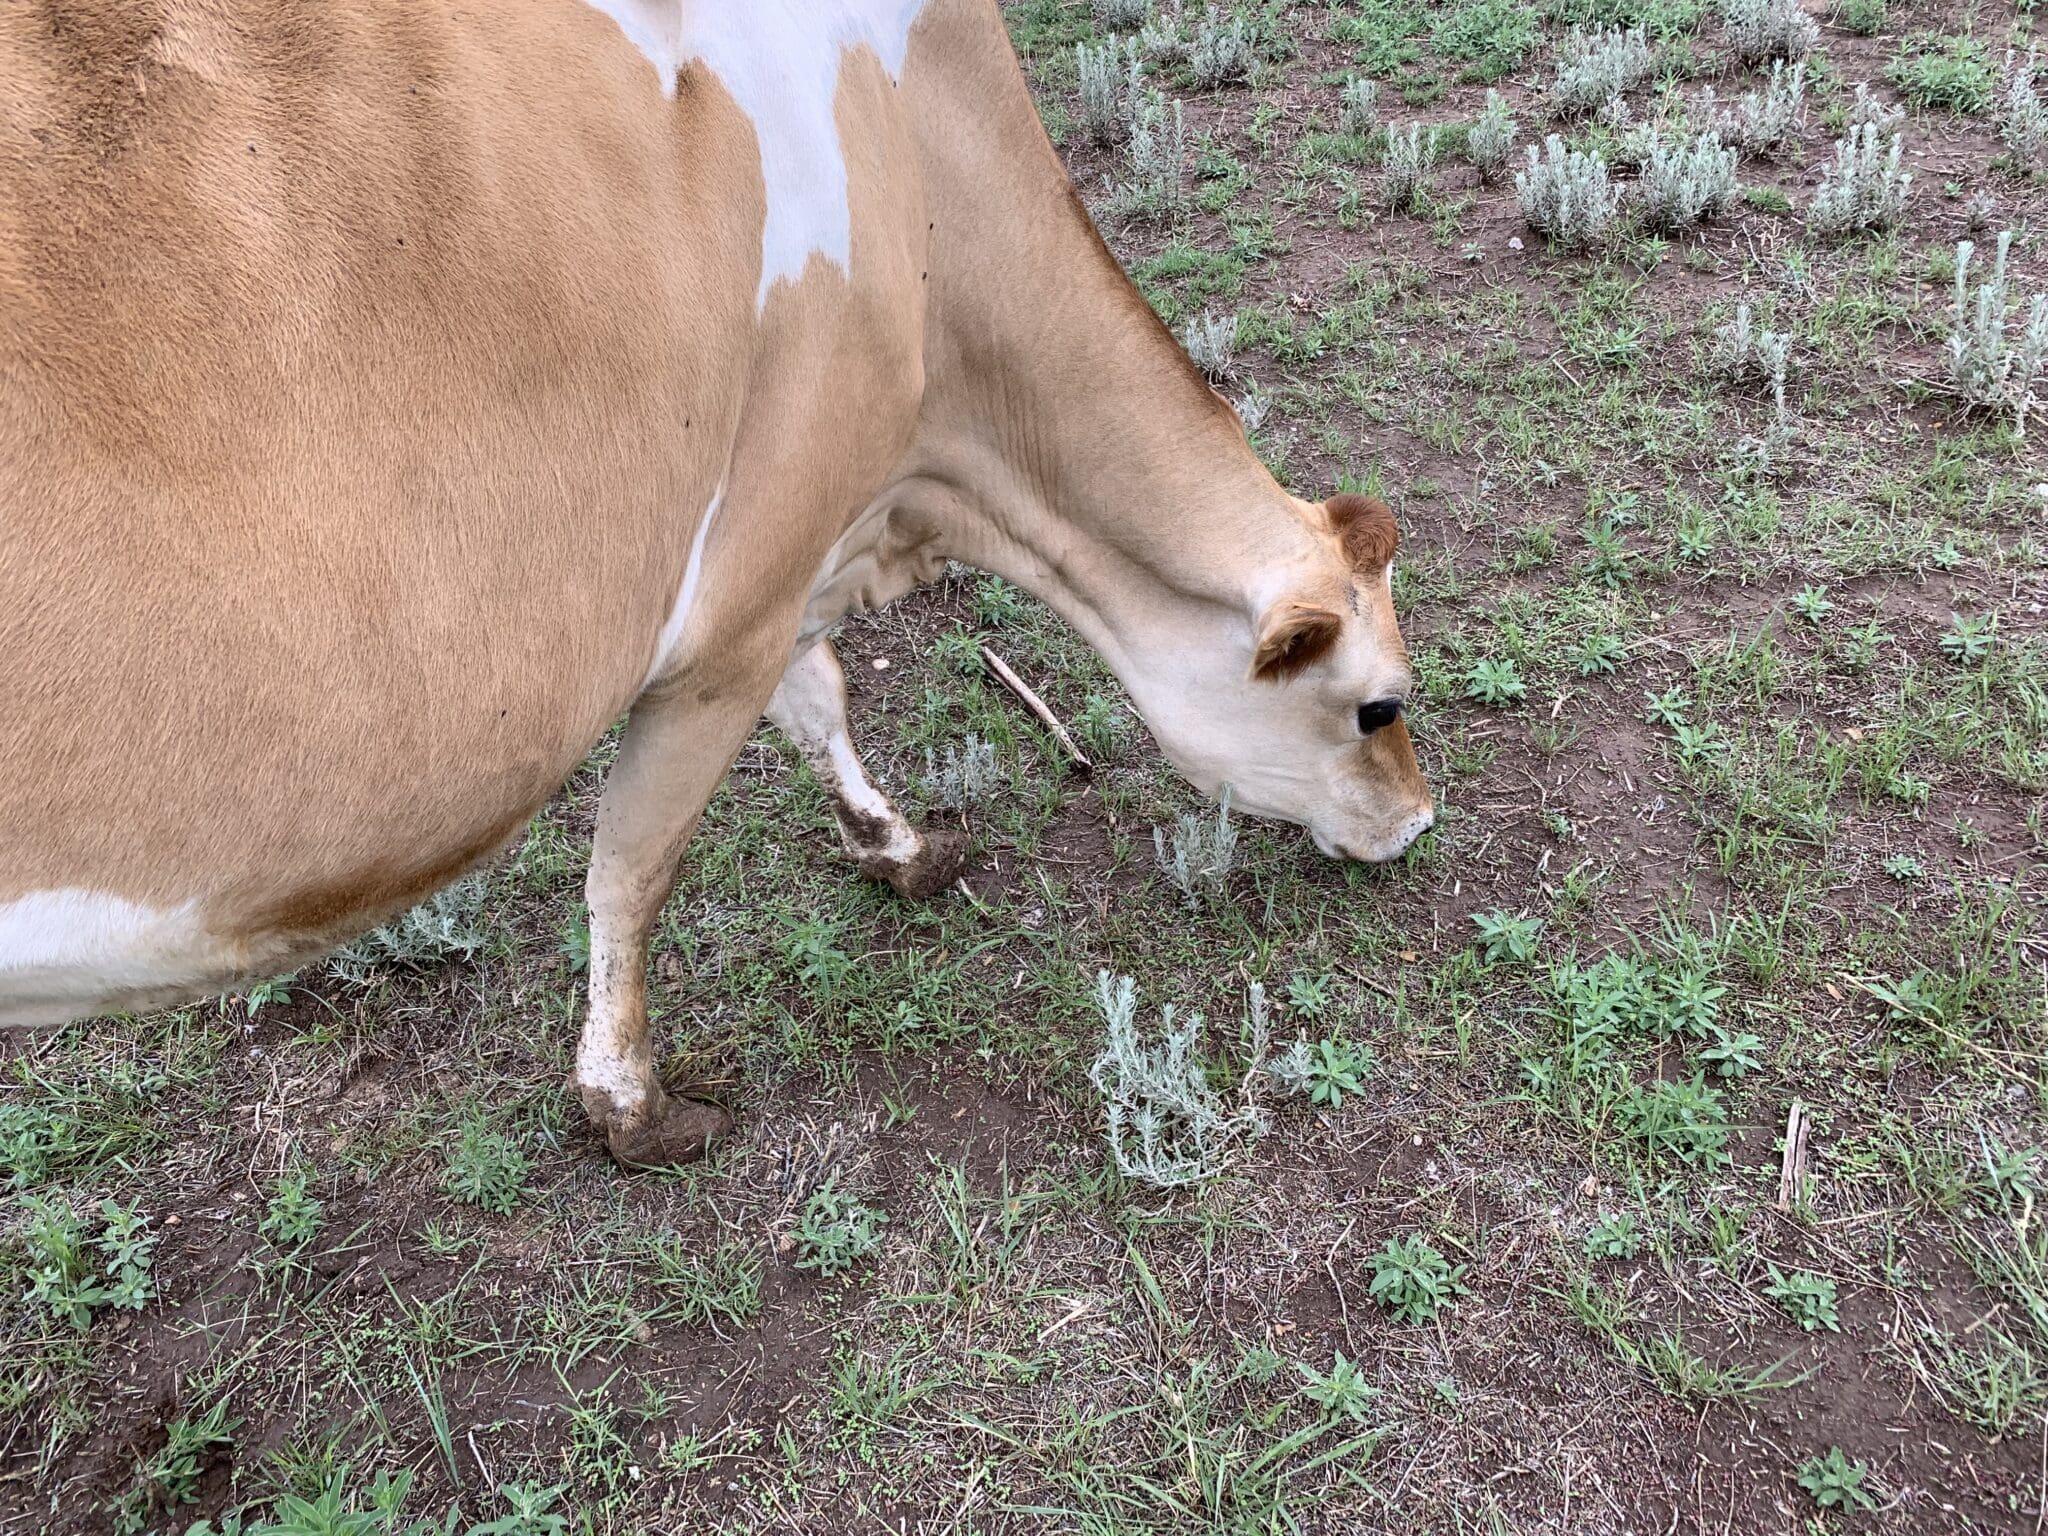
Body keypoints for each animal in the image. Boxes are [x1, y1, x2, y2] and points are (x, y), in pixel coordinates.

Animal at [0, 0, 1435, 1165]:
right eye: (1378, 705)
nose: (1418, 824)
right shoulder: (731, 605)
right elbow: (632, 868)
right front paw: (628, 1104)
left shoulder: (786, 556)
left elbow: (824, 702)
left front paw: (900, 845)